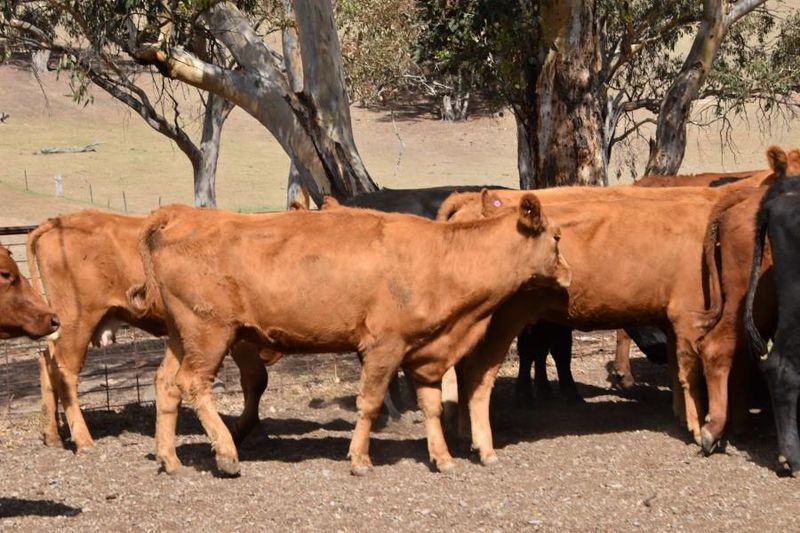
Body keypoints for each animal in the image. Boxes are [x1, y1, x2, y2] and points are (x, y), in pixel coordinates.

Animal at [27, 211, 274, 451]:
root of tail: (59, 221)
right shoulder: (238, 337)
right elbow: (256, 378)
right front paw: (249, 431)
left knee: (46, 360)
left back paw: (52, 435)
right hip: (78, 321)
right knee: (65, 371)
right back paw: (83, 440)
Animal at [126, 197, 570, 476]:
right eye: (556, 237)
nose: (568, 273)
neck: (442, 257)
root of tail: (181, 215)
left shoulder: (424, 351)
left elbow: (430, 407)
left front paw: (442, 458)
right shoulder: (384, 346)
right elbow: (369, 404)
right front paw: (359, 459)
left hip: (181, 335)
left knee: (166, 384)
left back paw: (169, 458)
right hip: (209, 333)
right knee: (193, 384)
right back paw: (226, 454)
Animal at [437, 184, 740, 465]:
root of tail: (471, 201)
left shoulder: (671, 321)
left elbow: (677, 370)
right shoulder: (688, 316)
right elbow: (691, 373)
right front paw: (699, 429)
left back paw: (465, 434)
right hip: (501, 322)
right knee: (476, 372)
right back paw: (482, 444)